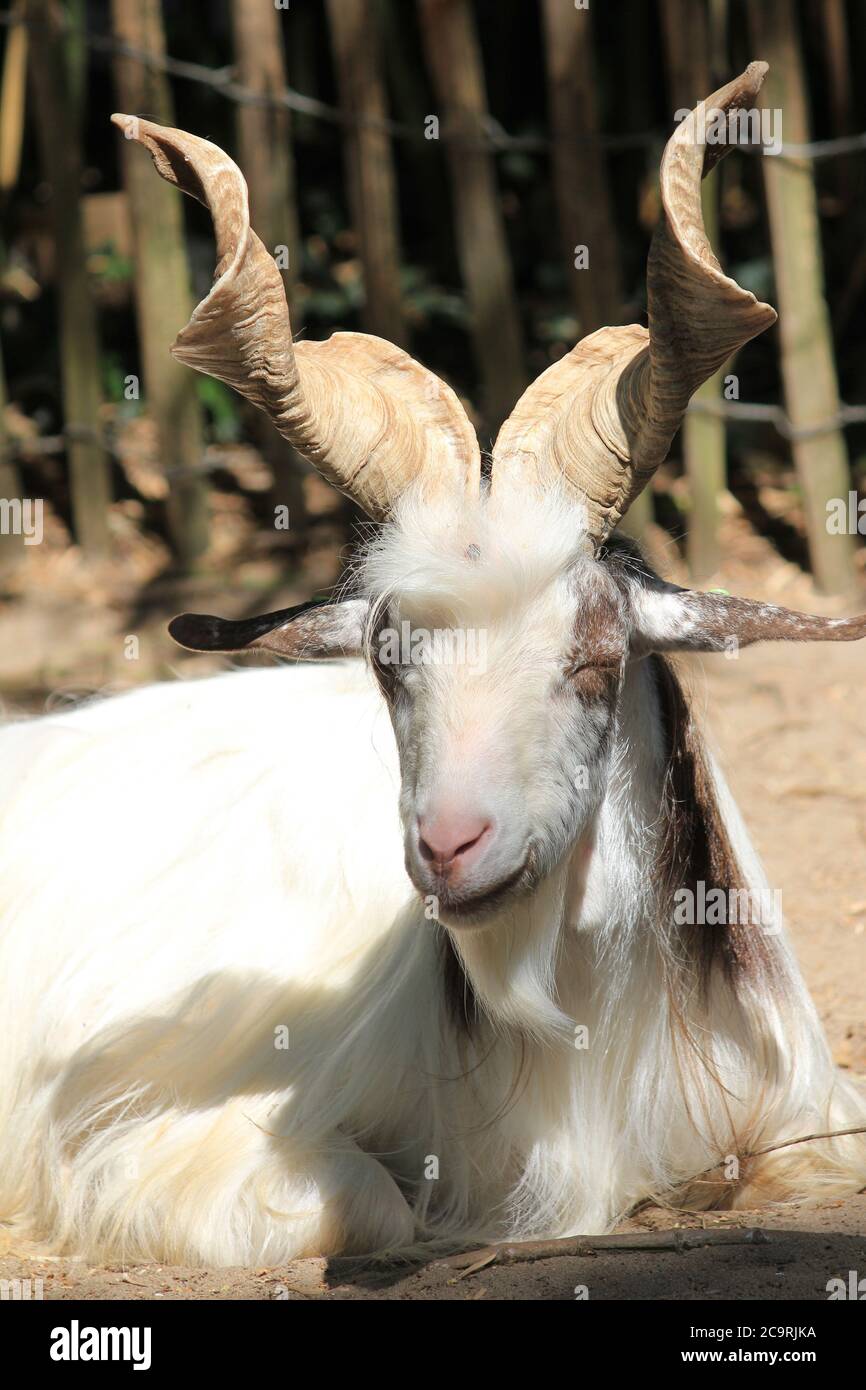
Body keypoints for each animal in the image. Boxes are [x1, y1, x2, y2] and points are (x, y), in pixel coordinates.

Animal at [0, 63, 864, 1267]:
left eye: (597, 654)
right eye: (383, 656)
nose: (451, 845)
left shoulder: (812, 1123)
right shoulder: (136, 1148)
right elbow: (369, 1202)